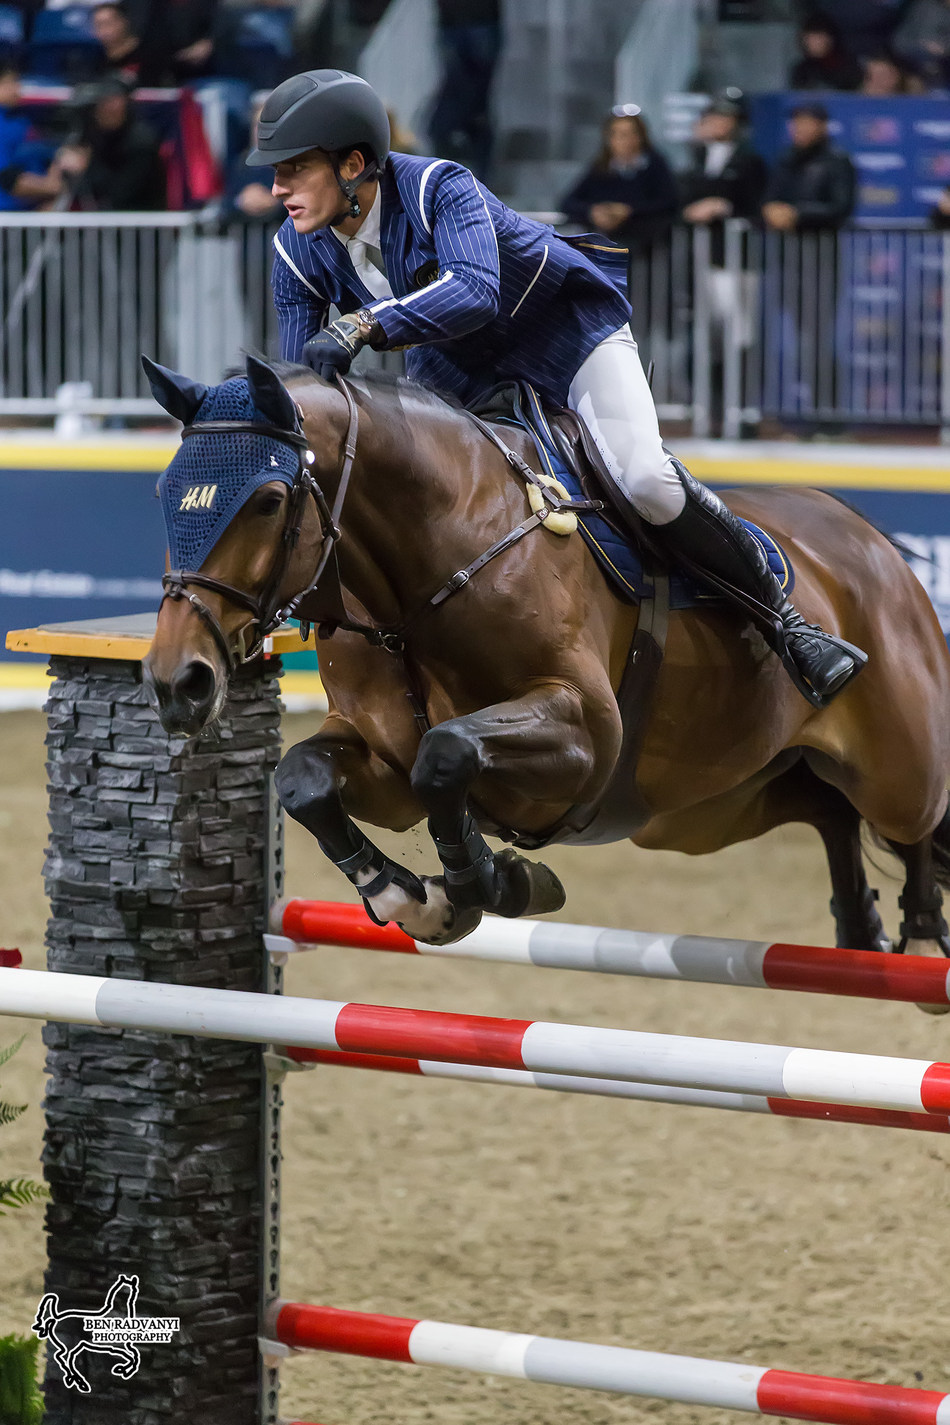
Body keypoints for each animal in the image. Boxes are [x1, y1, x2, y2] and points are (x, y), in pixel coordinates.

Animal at [142, 354, 950, 973]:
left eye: (269, 500)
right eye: (163, 491)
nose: (179, 682)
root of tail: (876, 545)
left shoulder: (585, 735)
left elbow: (449, 751)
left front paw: (490, 879)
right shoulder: (383, 761)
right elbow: (305, 778)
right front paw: (415, 897)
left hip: (898, 769)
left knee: (914, 822)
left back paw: (920, 931)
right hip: (717, 807)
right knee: (831, 812)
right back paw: (863, 928)